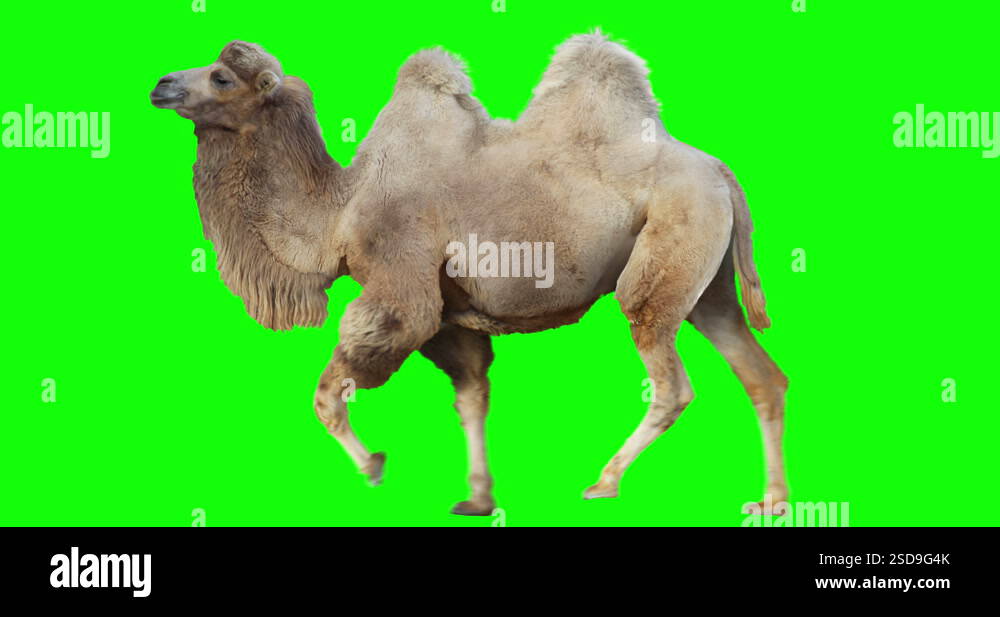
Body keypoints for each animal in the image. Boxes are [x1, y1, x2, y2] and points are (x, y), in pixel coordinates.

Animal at [150, 34, 789, 517]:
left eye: (221, 78)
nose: (161, 84)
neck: (340, 209)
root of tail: (721, 173)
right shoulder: (449, 317)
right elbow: (472, 396)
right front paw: (478, 499)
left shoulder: (399, 284)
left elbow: (330, 393)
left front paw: (374, 465)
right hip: (708, 284)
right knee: (759, 373)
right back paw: (772, 502)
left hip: (665, 256)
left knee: (667, 370)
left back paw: (604, 482)